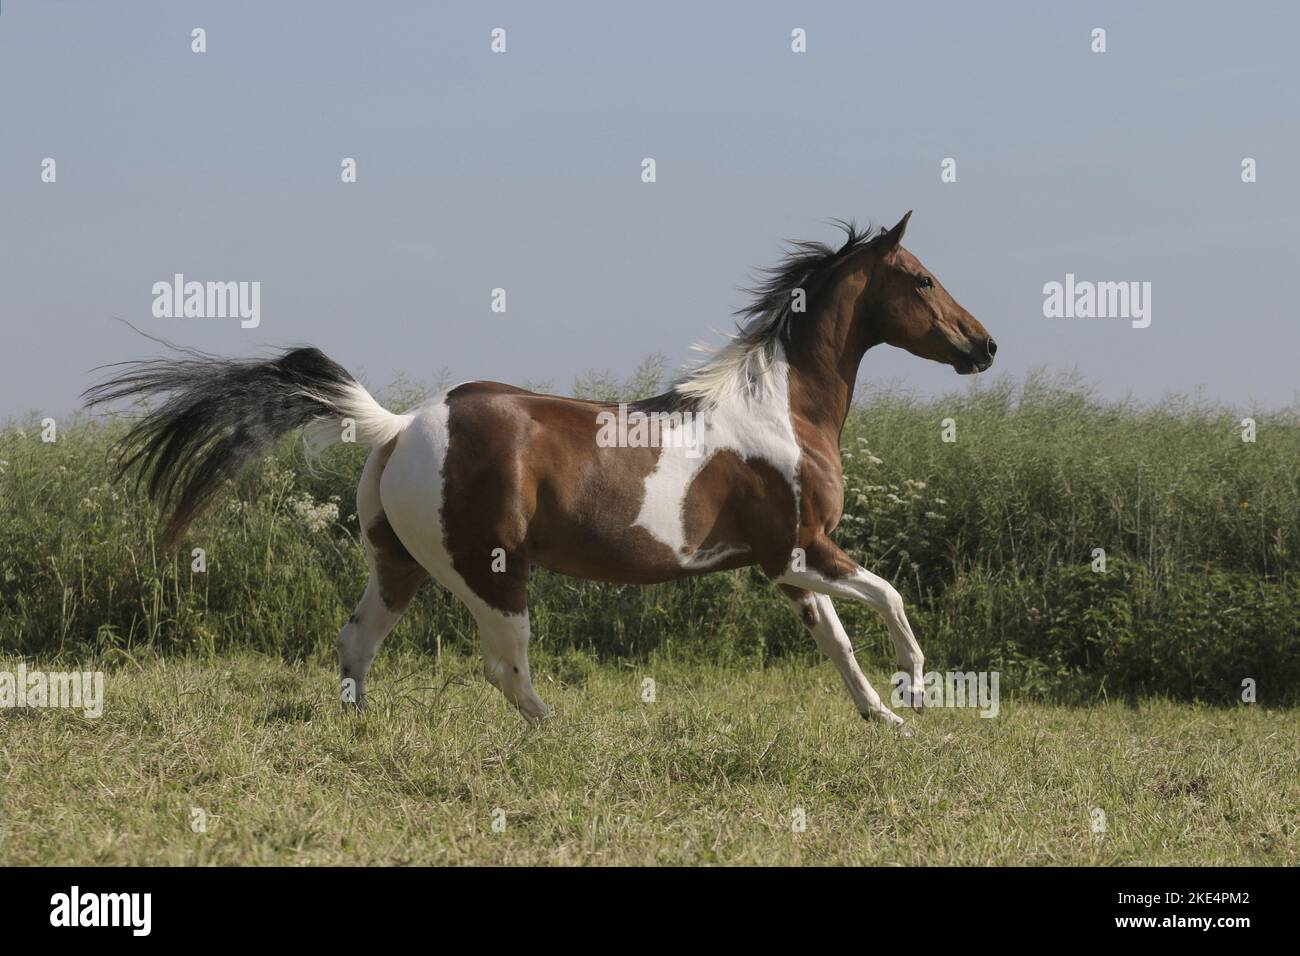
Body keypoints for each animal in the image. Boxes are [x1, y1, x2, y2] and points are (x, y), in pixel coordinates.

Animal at [86, 211, 995, 732]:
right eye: (921, 279)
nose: (983, 345)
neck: (778, 410)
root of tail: (400, 425)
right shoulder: (800, 551)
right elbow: (890, 599)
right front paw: (916, 693)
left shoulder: (789, 570)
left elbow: (838, 642)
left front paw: (884, 720)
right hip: (491, 571)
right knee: (502, 666)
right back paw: (555, 728)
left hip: (400, 564)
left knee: (356, 642)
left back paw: (359, 728)